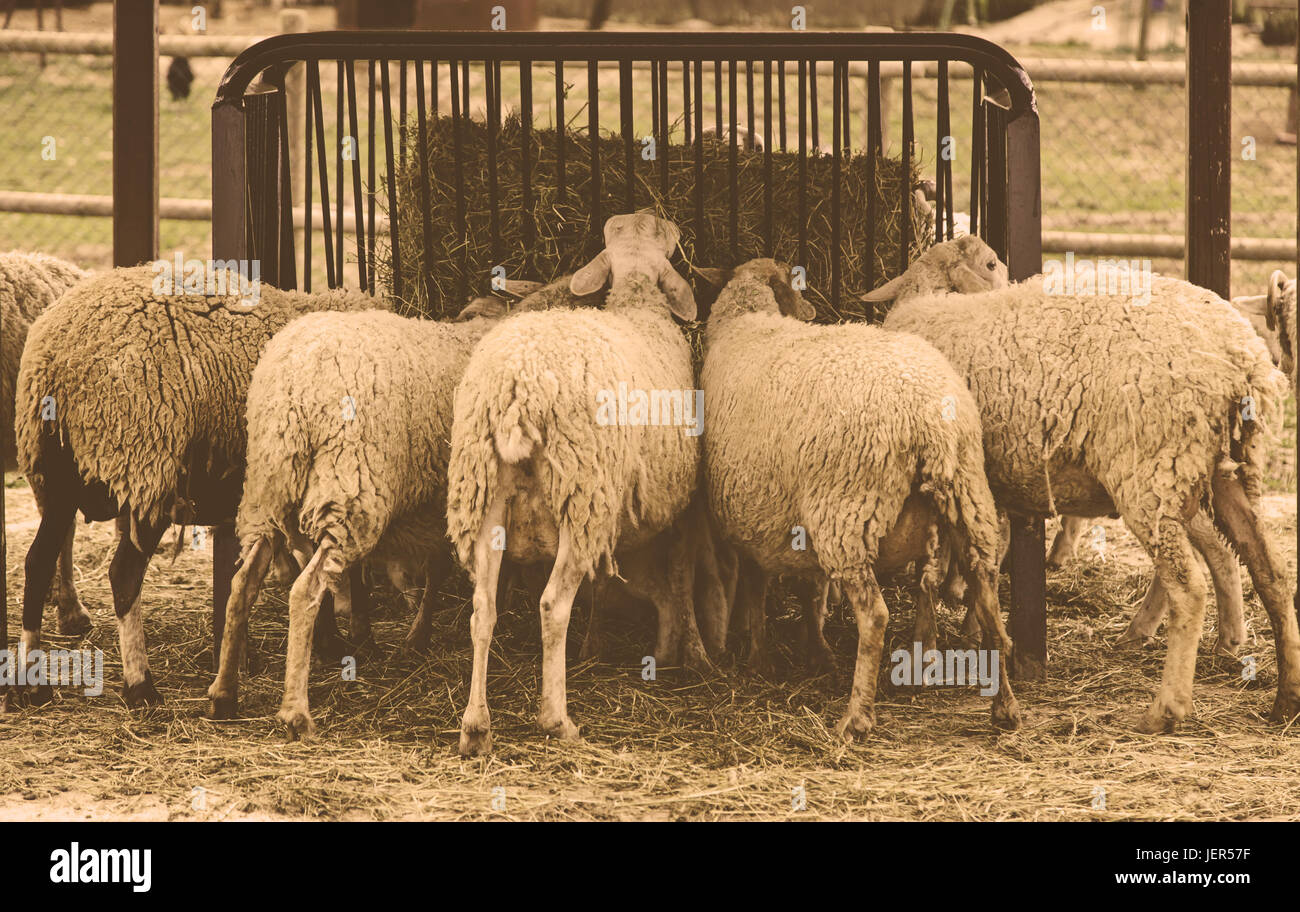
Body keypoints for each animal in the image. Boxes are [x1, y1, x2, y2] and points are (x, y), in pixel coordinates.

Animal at [12, 265, 384, 708]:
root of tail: (56, 356)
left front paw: (328, 638)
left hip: (57, 474)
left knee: (37, 563)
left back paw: (30, 682)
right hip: (147, 462)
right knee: (122, 575)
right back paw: (140, 685)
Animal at [446, 212, 707, 755]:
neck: (637, 299)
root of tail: (519, 386)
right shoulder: (682, 507)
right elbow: (681, 577)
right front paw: (682, 652)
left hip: (482, 492)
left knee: (482, 609)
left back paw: (476, 728)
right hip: (581, 495)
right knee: (552, 606)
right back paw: (557, 721)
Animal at [700, 257, 1020, 737]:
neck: (745, 316)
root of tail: (929, 418)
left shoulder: (752, 519)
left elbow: (758, 589)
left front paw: (760, 658)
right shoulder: (787, 517)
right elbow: (809, 588)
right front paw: (815, 650)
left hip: (846, 512)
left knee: (875, 616)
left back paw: (856, 717)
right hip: (968, 496)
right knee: (988, 600)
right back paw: (1005, 707)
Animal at [874, 236, 1298, 731]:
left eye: (992, 262)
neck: (928, 301)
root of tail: (1241, 356)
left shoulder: (946, 476)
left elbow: (931, 571)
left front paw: (926, 648)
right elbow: (972, 563)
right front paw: (962, 630)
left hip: (1151, 467)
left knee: (1189, 586)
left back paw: (1165, 709)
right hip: (1226, 469)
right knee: (1271, 571)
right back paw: (1286, 697)